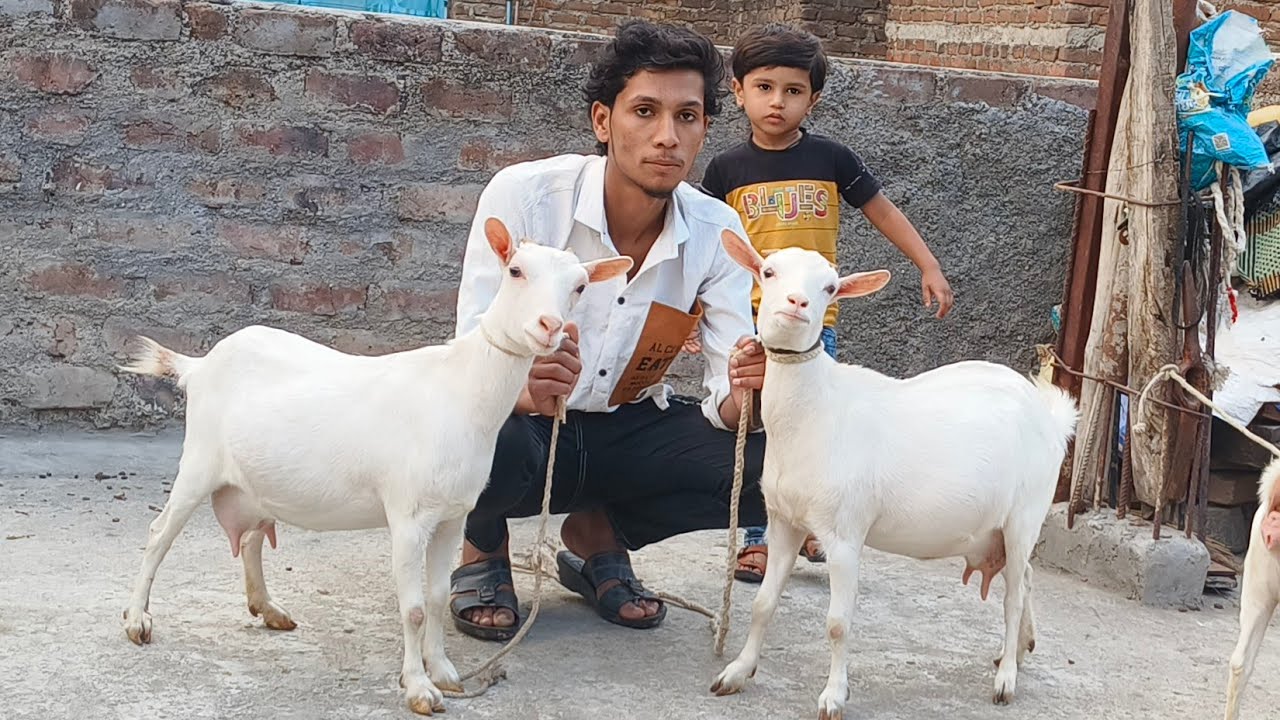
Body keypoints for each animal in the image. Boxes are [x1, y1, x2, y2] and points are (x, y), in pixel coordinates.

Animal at [116, 218, 632, 716]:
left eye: (580, 286)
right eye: (516, 270)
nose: (549, 326)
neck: (461, 389)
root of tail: (198, 365)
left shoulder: (453, 515)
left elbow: (438, 597)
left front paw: (444, 672)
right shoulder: (408, 514)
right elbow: (415, 607)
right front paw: (419, 689)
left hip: (256, 480)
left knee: (250, 538)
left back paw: (268, 608)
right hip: (200, 458)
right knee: (159, 533)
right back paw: (138, 619)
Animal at [708, 230, 1077, 718]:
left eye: (829, 288)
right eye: (768, 271)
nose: (797, 303)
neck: (816, 411)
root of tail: (1052, 418)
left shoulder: (844, 533)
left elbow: (838, 623)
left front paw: (833, 696)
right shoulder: (784, 520)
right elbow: (763, 603)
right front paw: (736, 672)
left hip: (1026, 513)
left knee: (1014, 594)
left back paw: (1006, 680)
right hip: (1003, 527)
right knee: (1028, 577)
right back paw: (1015, 651)